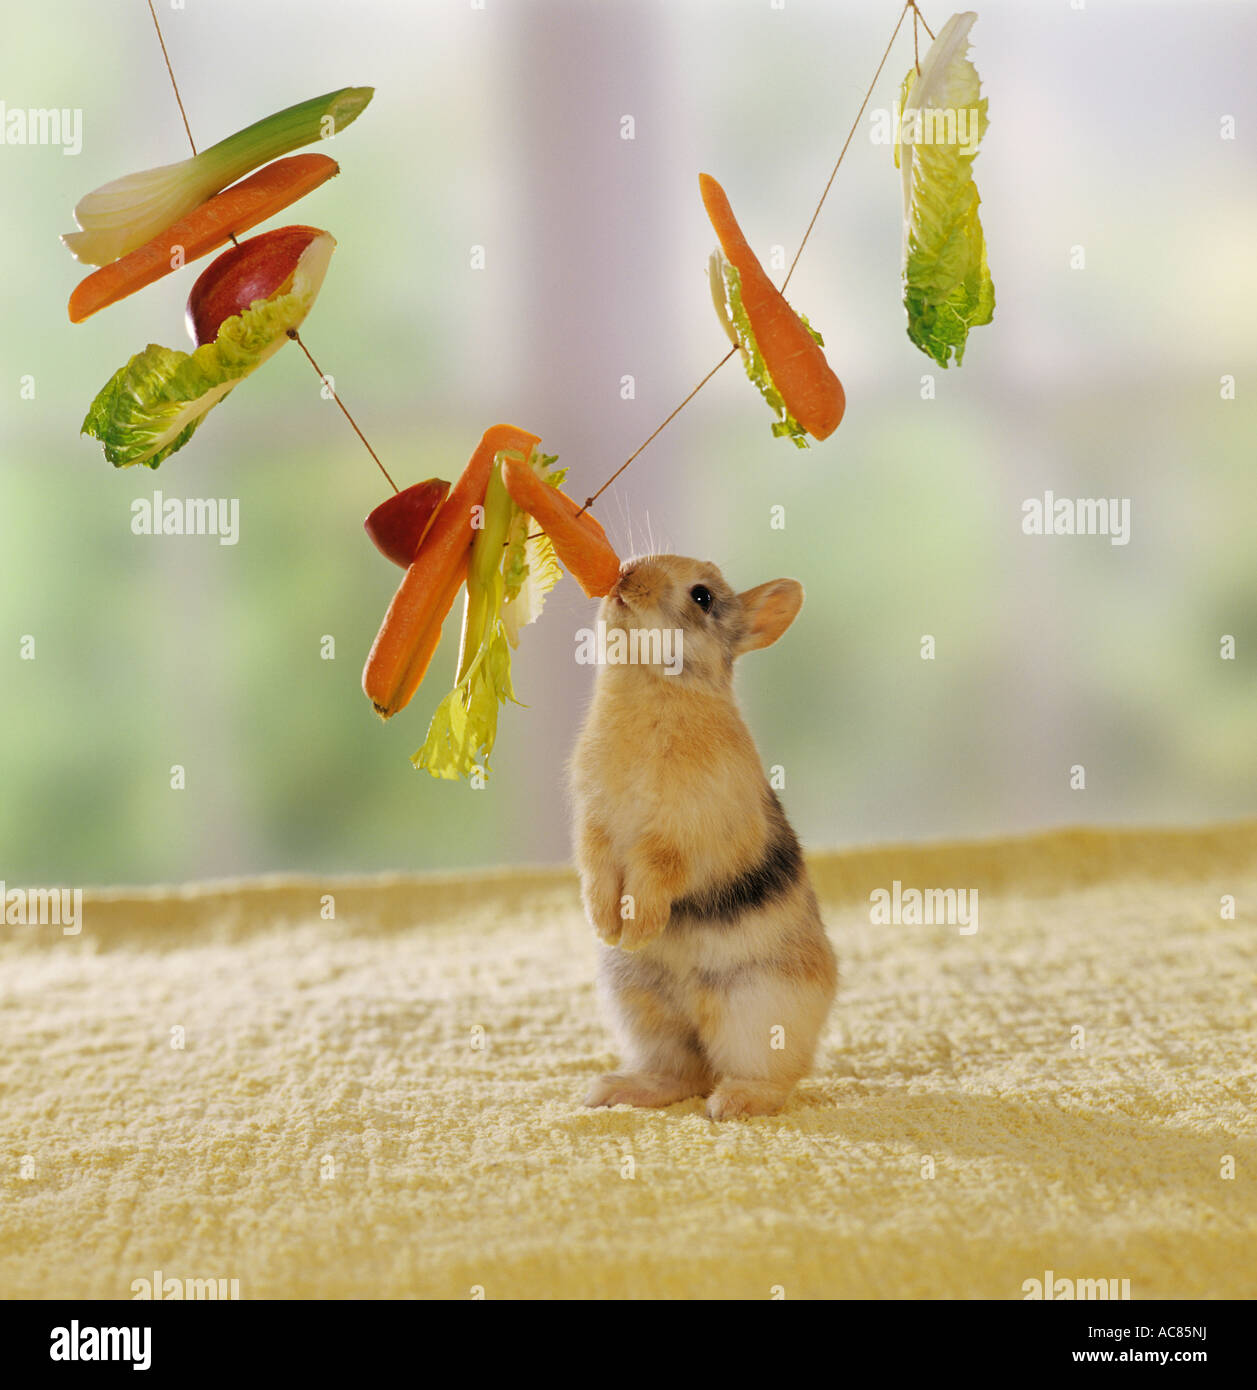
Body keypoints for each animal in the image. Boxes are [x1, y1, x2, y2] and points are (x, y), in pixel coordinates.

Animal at [569, 553, 837, 1120]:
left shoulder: (680, 838)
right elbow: (597, 867)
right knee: (683, 1071)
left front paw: (636, 928)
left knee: (770, 1075)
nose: (626, 576)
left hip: (756, 1011)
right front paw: (607, 926)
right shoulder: (594, 824)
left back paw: (732, 1103)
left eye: (702, 597)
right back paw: (616, 1090)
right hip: (640, 1007)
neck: (656, 686)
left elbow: (656, 872)